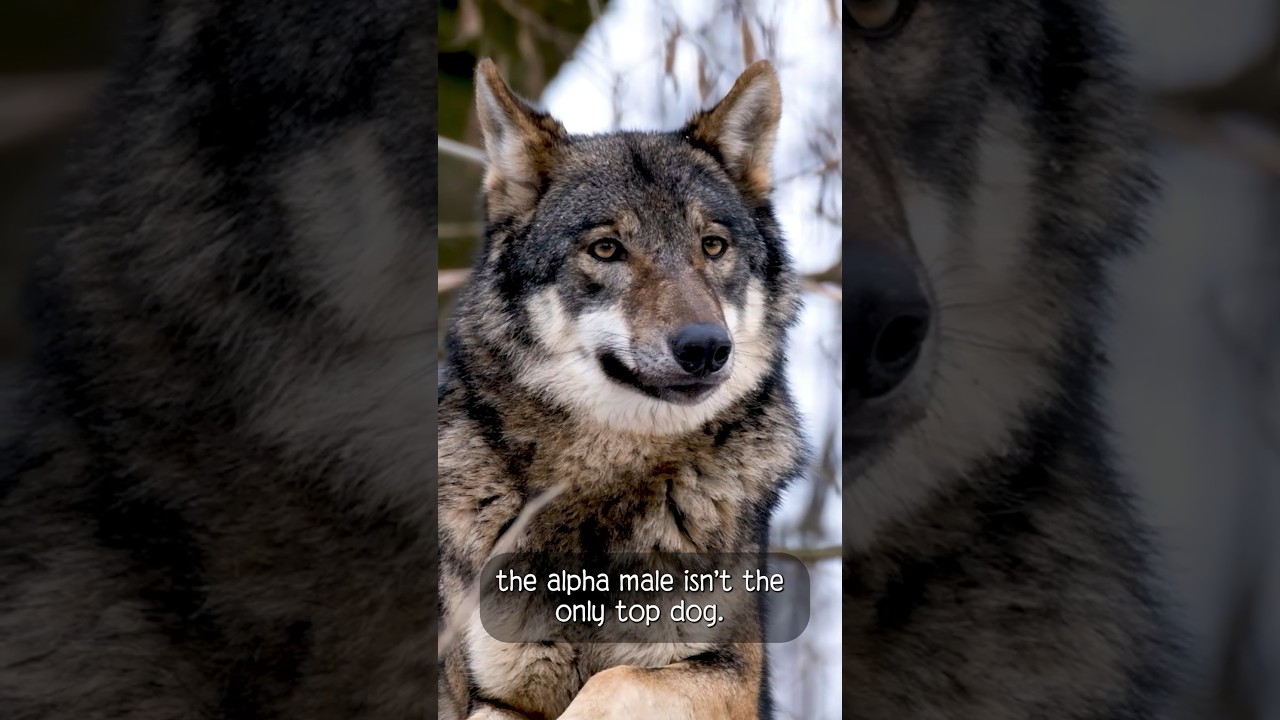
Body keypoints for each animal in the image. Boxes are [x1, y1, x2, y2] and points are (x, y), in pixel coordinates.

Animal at [437, 59, 807, 720]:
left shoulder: (730, 676)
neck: (607, 478)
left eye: (712, 245)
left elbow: (612, 682)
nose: (706, 347)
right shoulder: (490, 695)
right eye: (607, 248)